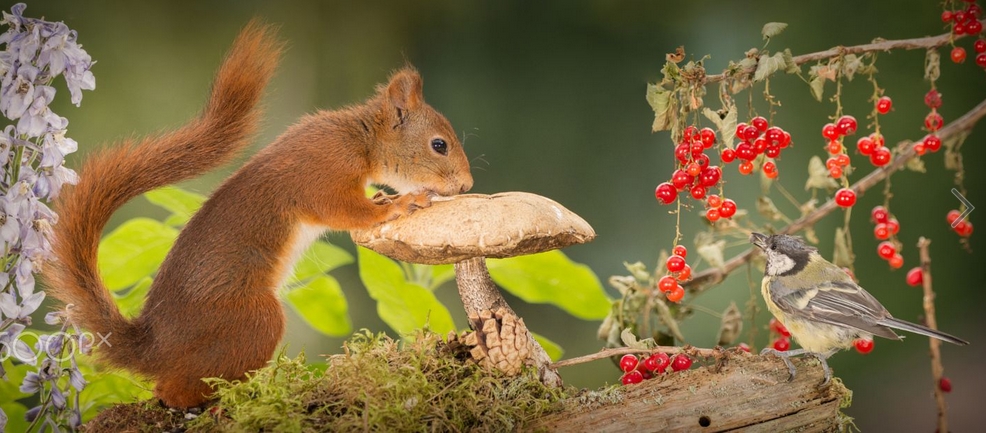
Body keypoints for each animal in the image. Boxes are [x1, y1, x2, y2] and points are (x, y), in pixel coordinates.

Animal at [45, 21, 474, 408]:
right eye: (439, 145)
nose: (467, 185)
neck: (361, 139)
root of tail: (155, 347)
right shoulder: (323, 172)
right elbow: (343, 210)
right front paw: (400, 202)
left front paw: (386, 197)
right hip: (254, 320)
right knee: (175, 390)